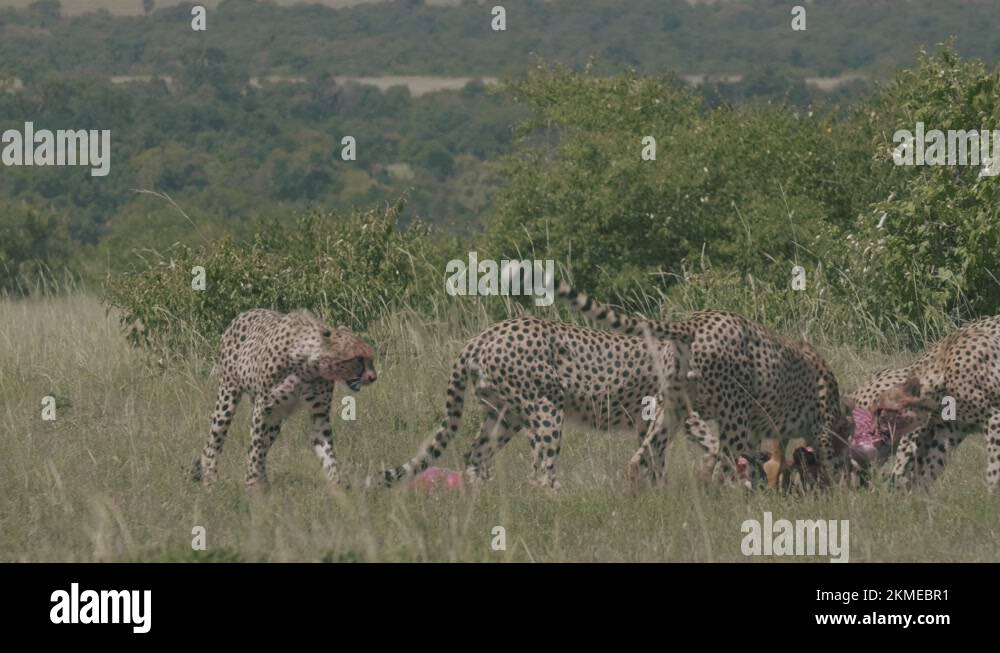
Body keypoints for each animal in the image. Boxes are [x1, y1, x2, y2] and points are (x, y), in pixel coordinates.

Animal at [191, 309, 377, 490]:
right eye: (358, 358)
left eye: (371, 358)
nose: (374, 377)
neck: (308, 366)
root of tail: (243, 313)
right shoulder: (263, 408)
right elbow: (256, 447)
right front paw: (251, 483)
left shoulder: (319, 415)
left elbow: (327, 452)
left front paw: (336, 485)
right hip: (228, 396)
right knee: (213, 442)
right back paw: (211, 480)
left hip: (275, 420)